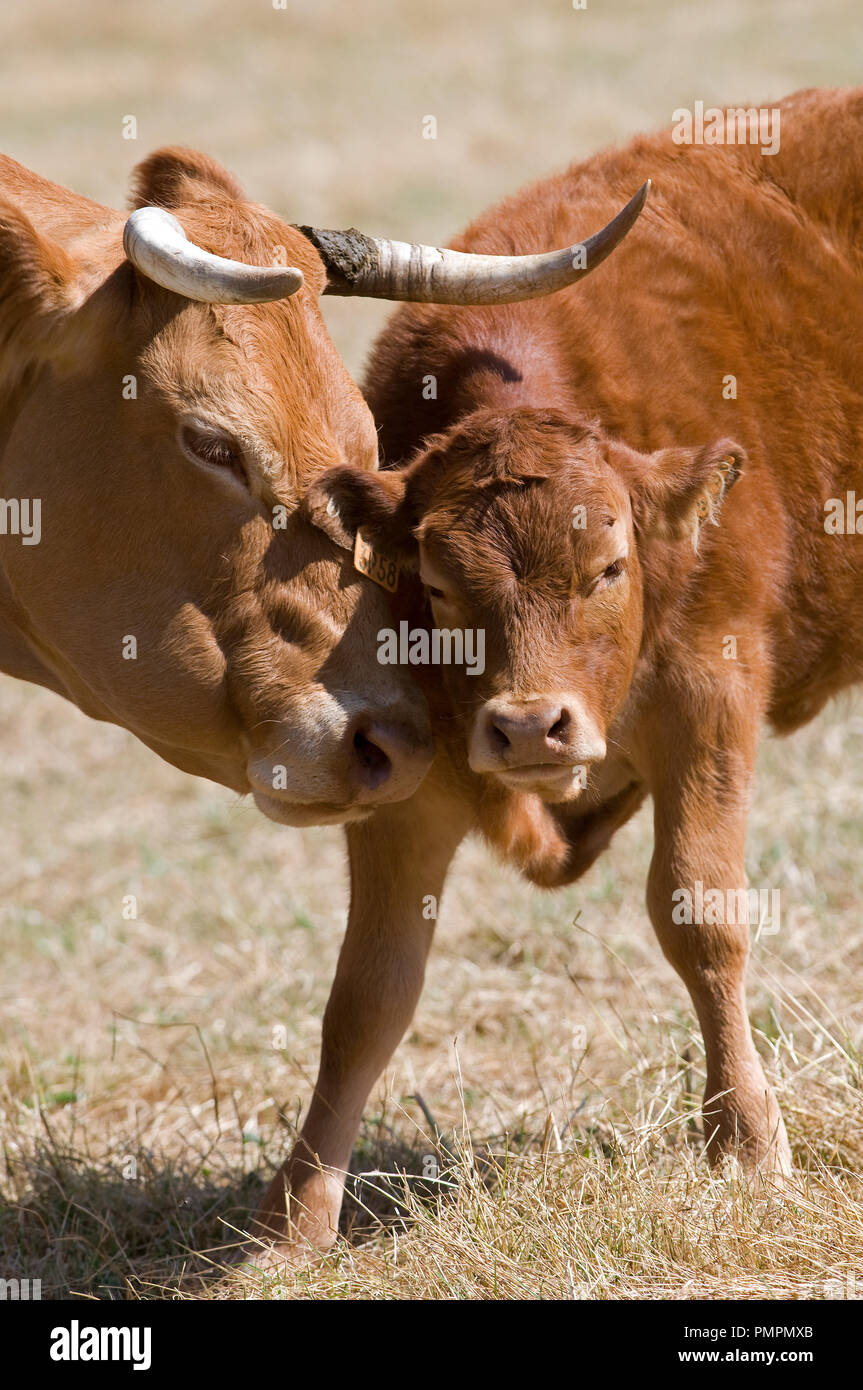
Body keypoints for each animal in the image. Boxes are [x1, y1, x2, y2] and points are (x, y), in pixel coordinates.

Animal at [270, 85, 863, 1263]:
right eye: (436, 584)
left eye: (610, 567)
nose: (529, 728)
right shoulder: (410, 774)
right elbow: (366, 993)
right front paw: (298, 1213)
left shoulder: (709, 700)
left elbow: (698, 912)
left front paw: (743, 1143)